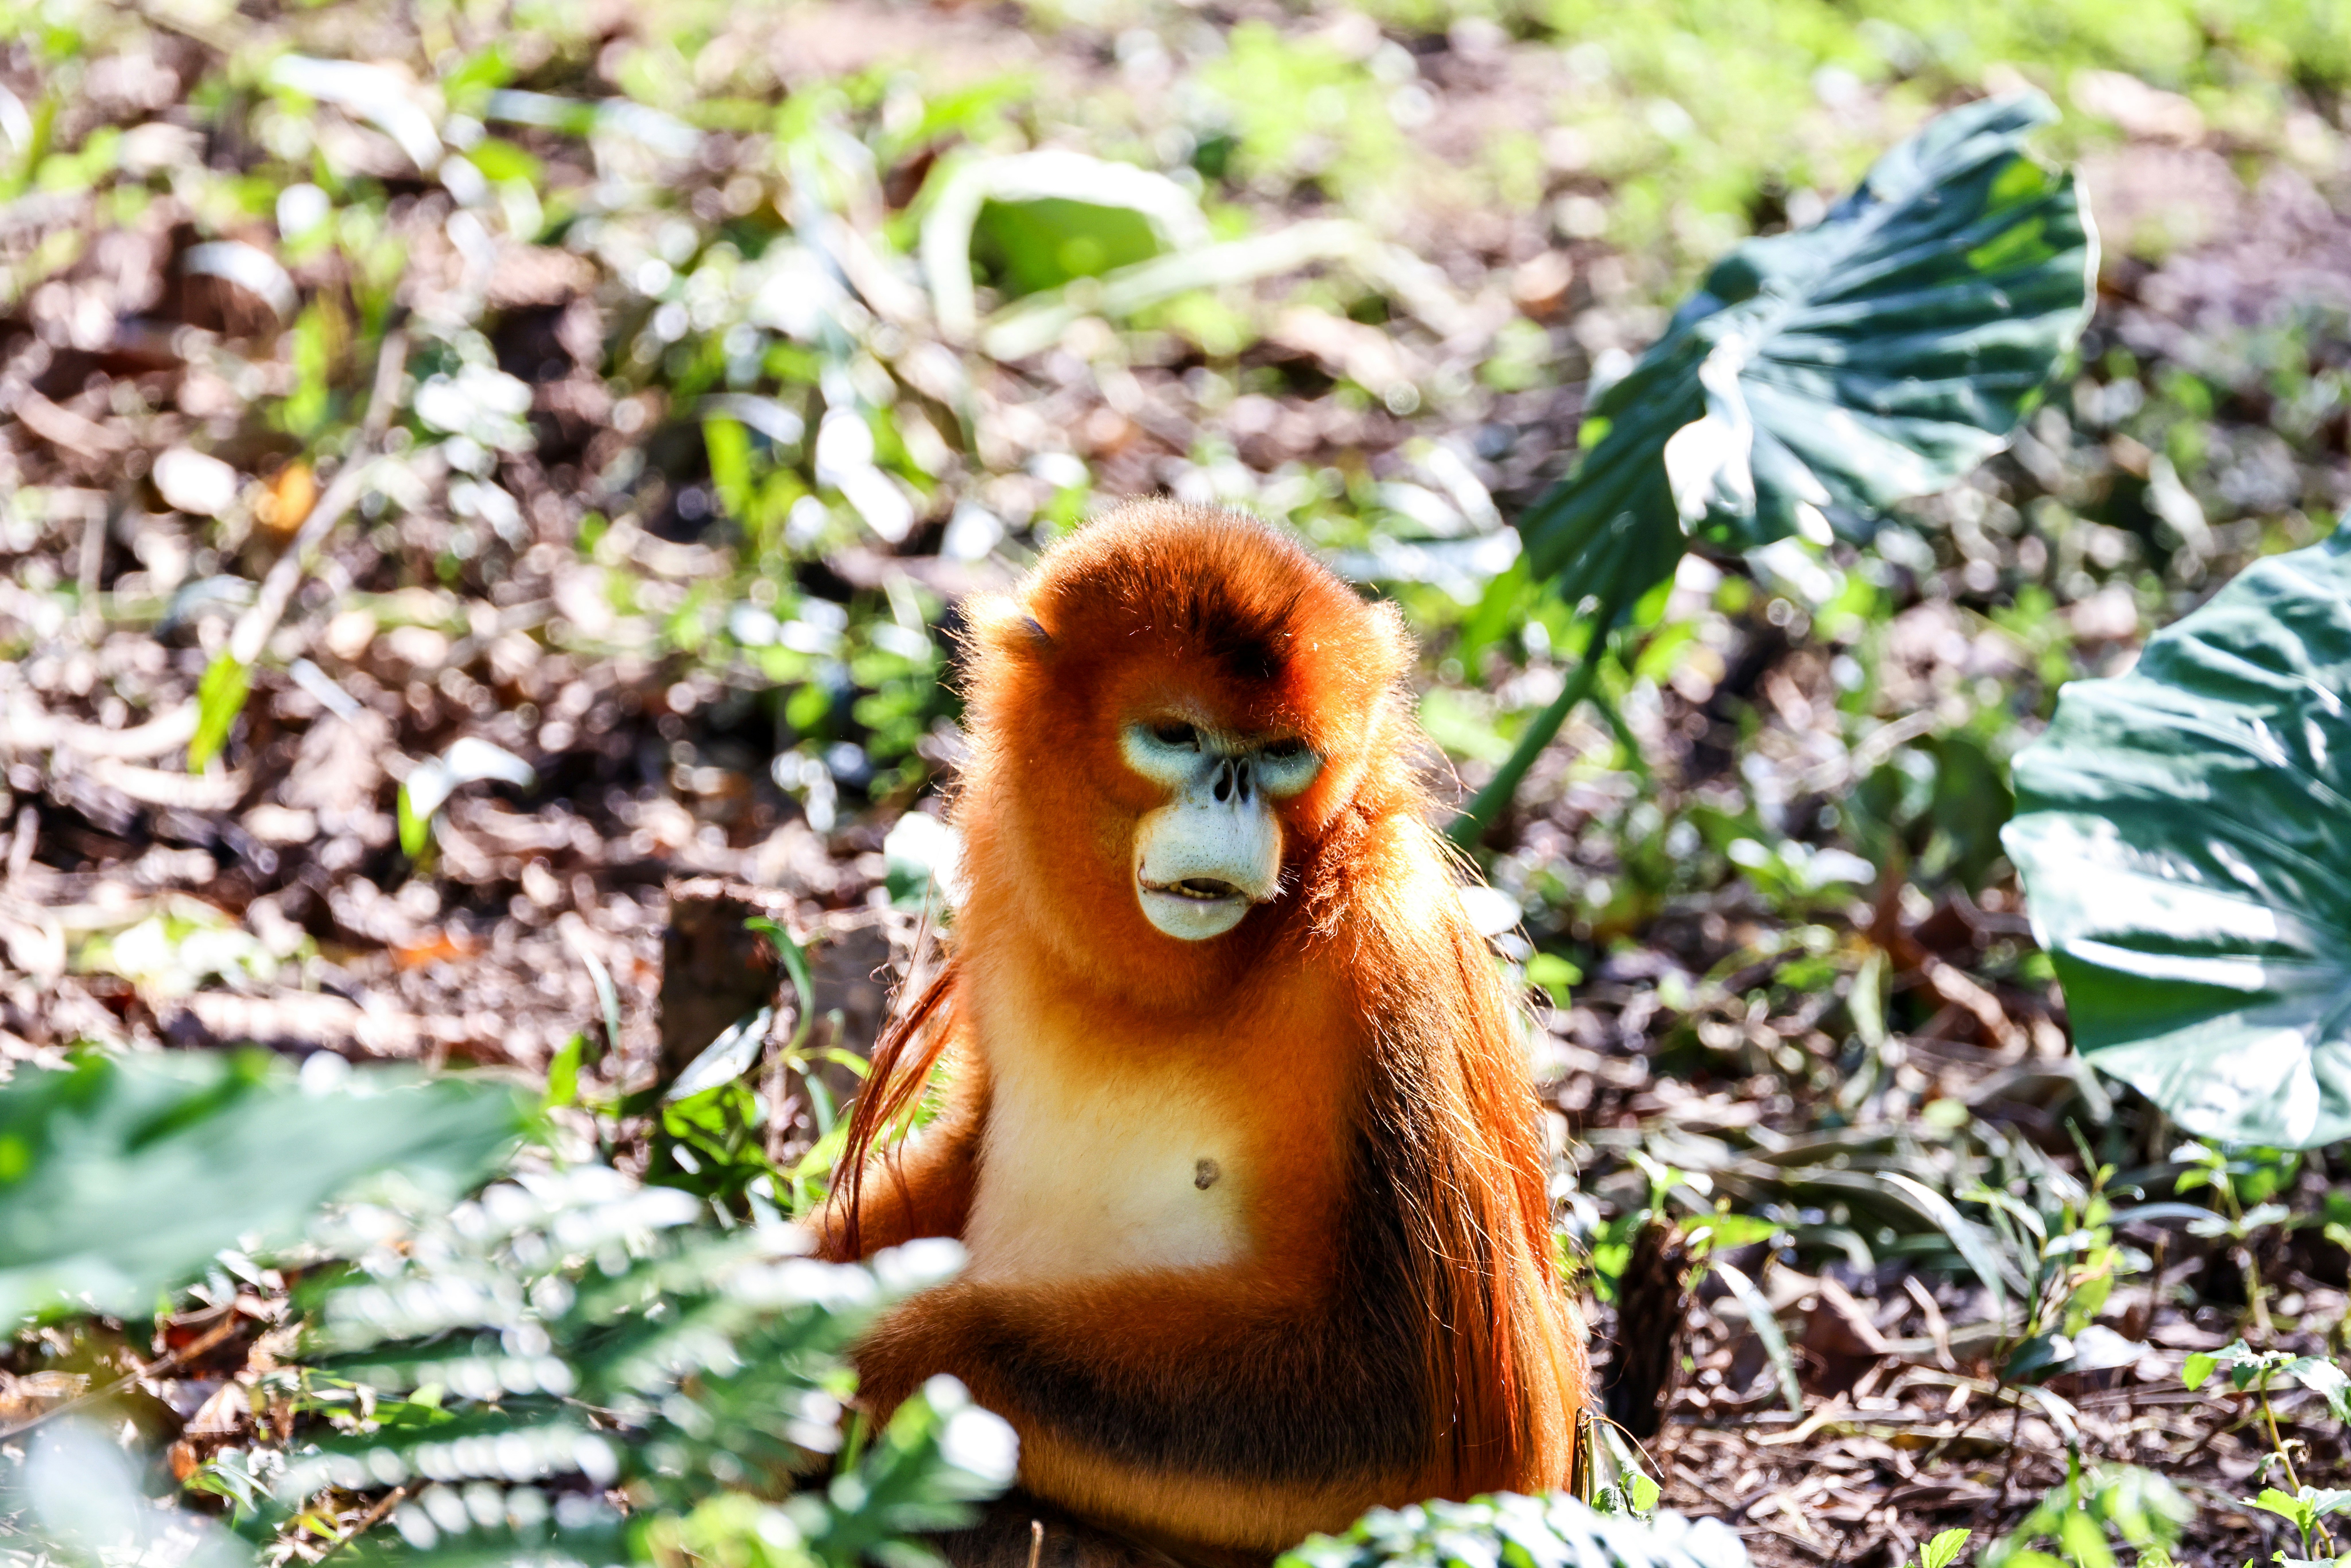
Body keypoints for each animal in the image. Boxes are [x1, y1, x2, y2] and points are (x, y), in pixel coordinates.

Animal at [815, 500, 1586, 1563]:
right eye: (1177, 736)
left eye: (1281, 755)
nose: (1231, 792)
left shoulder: (1388, 957)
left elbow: (1426, 1418)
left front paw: (879, 1359)